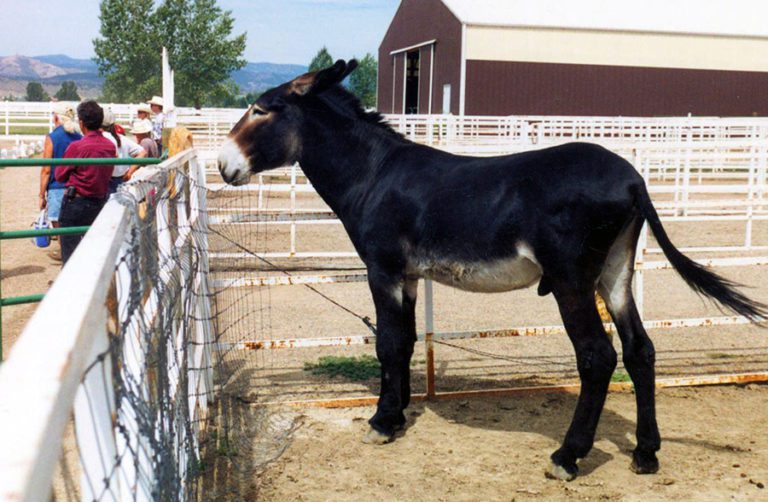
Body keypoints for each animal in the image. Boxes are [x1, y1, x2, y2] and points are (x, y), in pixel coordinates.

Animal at [217, 60, 766, 481]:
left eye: (261, 109)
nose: (223, 166)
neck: (374, 175)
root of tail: (634, 179)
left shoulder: (384, 269)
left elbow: (388, 342)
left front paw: (382, 421)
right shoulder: (409, 276)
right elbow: (407, 341)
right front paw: (400, 413)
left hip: (570, 279)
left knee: (597, 357)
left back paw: (568, 456)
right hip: (615, 273)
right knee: (640, 351)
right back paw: (646, 454)